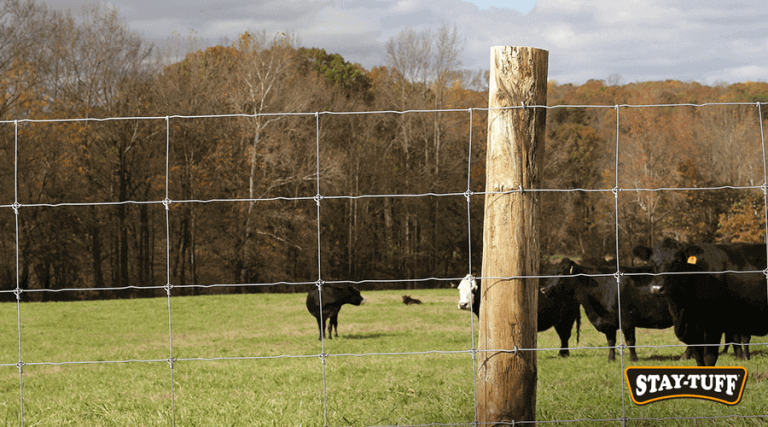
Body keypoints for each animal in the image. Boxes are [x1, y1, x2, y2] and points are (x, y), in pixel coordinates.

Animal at [540, 258, 679, 362]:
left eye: (560, 273)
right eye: (553, 272)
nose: (543, 289)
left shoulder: (627, 318)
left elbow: (630, 340)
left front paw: (633, 359)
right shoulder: (608, 323)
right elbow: (611, 341)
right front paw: (611, 359)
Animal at [633, 238, 768, 366]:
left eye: (676, 262)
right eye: (652, 262)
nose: (656, 288)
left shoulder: (713, 326)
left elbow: (709, 358)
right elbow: (698, 358)